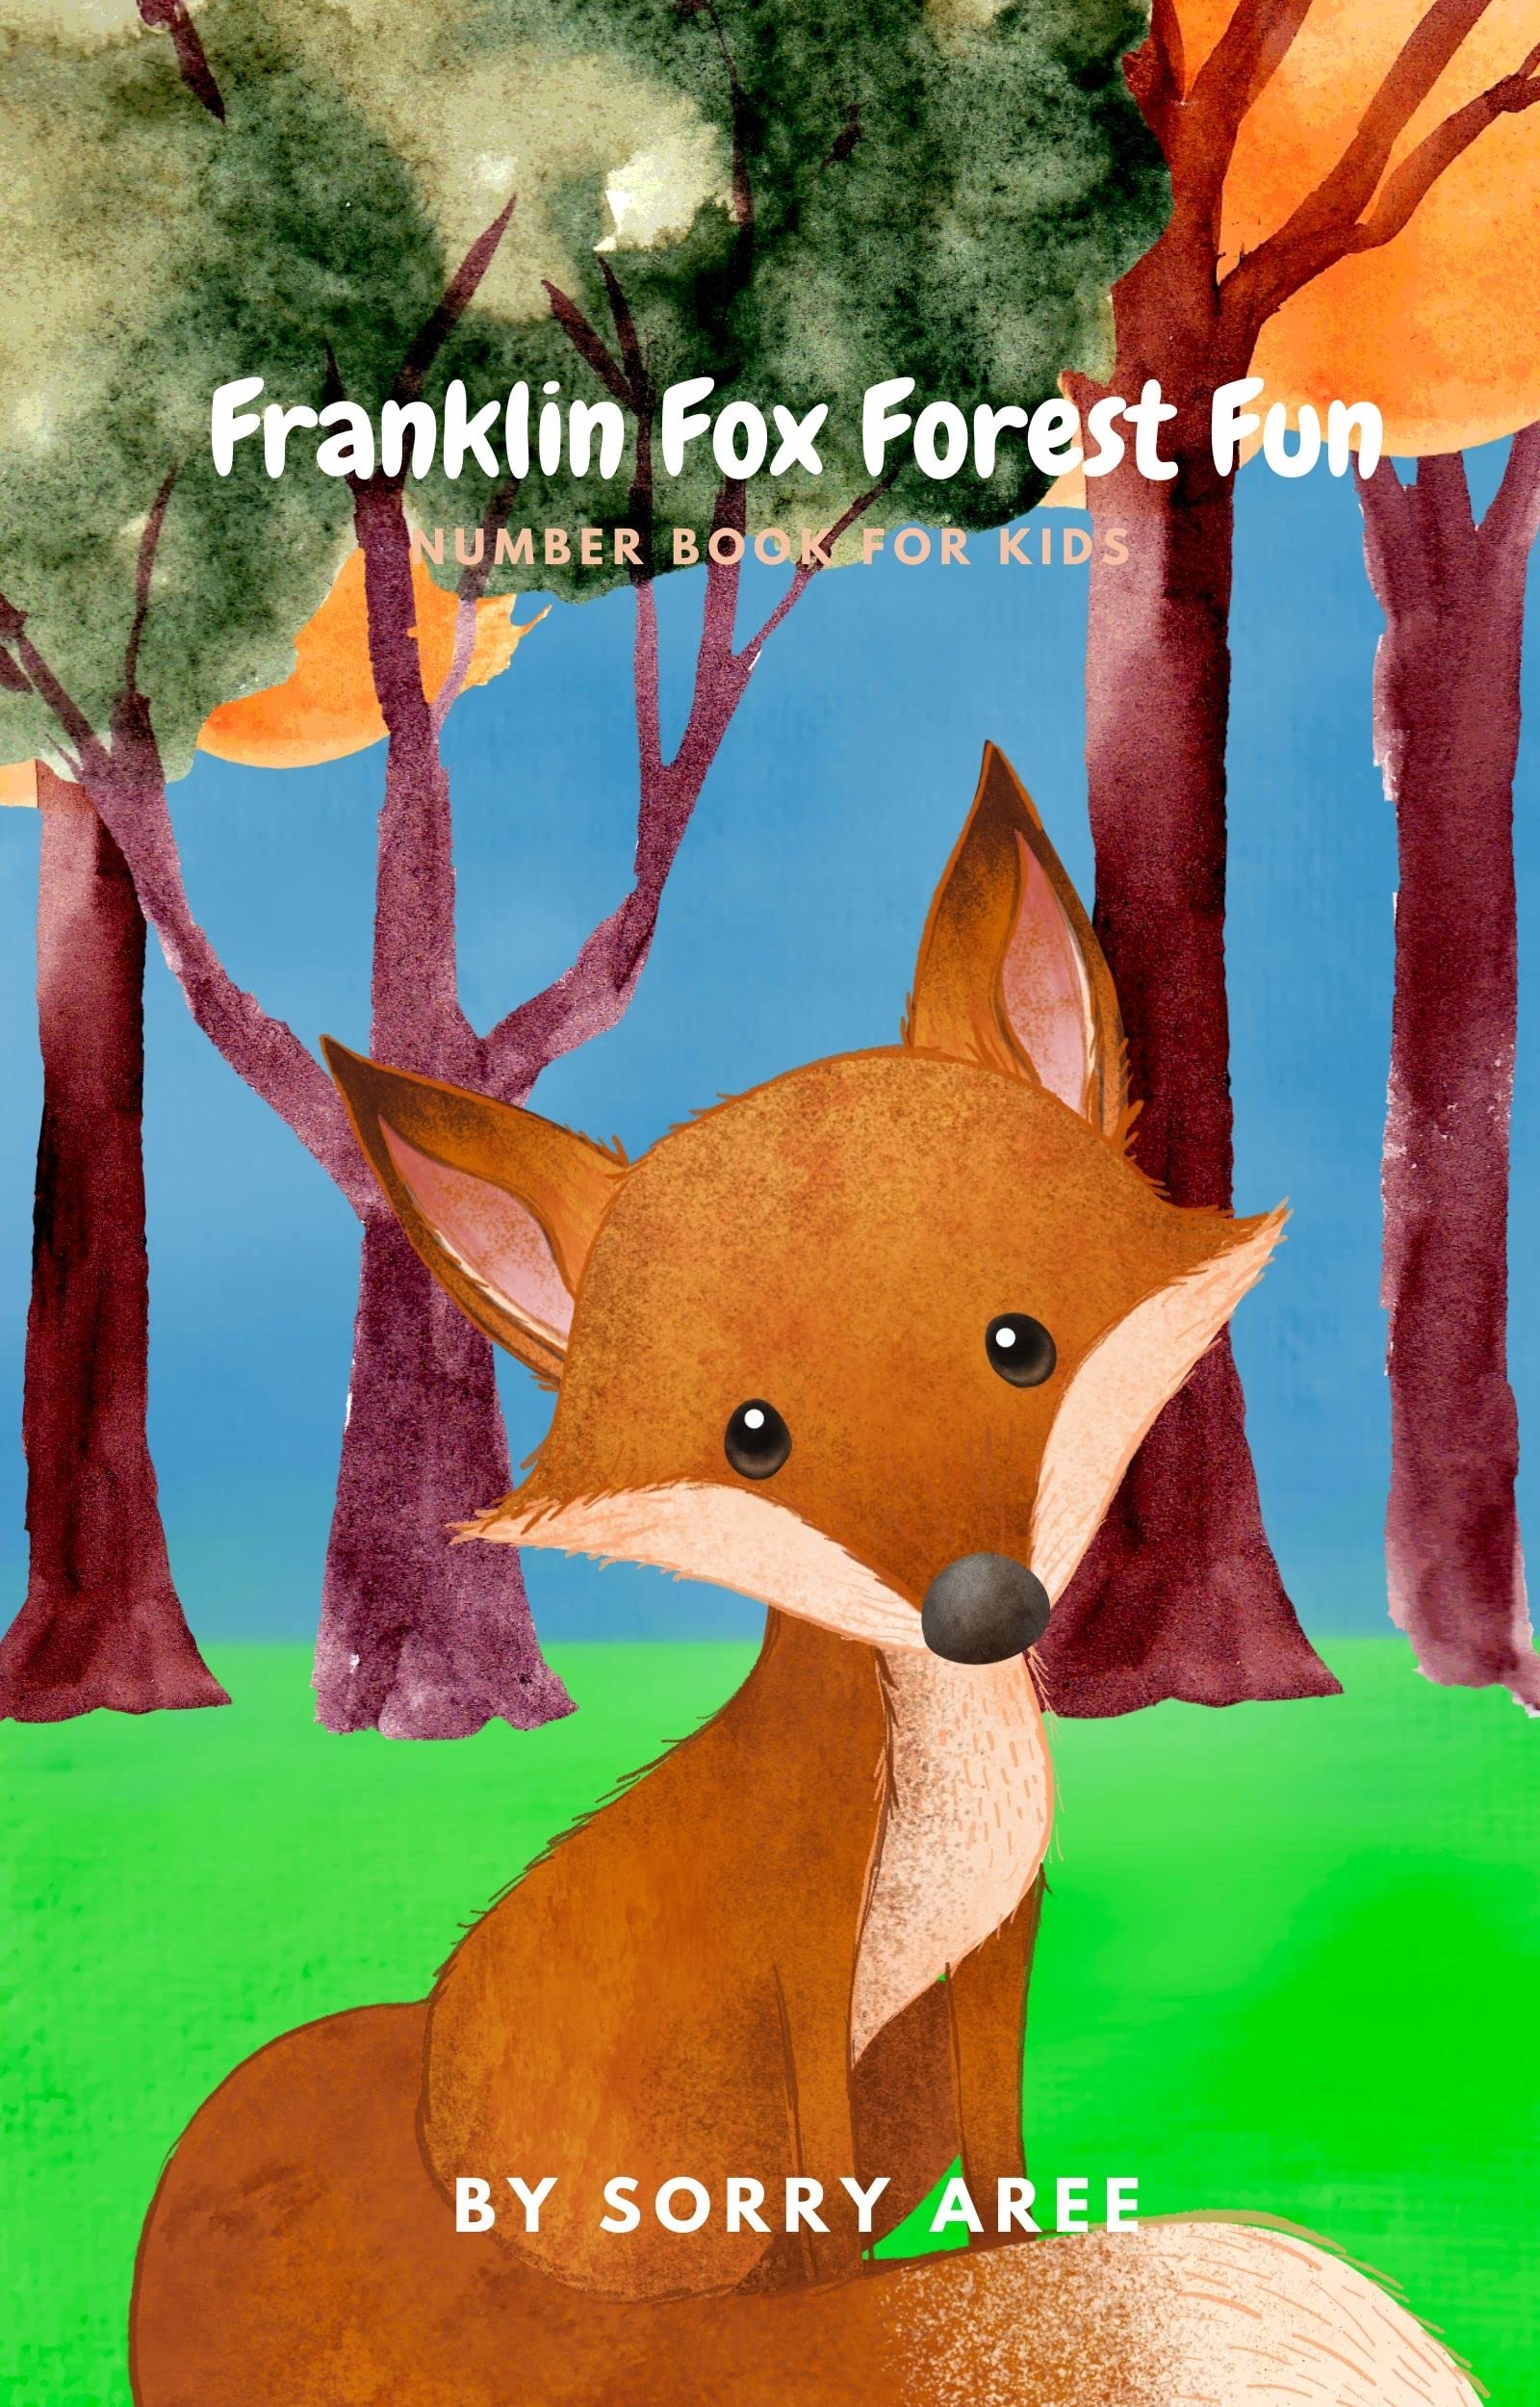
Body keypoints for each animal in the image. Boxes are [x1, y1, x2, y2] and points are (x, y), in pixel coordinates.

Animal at [130, 746, 1478, 2407]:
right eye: (753, 1437)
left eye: (1019, 1344)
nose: (985, 1609)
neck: (945, 1810)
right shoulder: (799, 1971)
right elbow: (836, 2245)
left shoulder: (992, 1947)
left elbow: (1003, 2169)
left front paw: (1002, 2250)